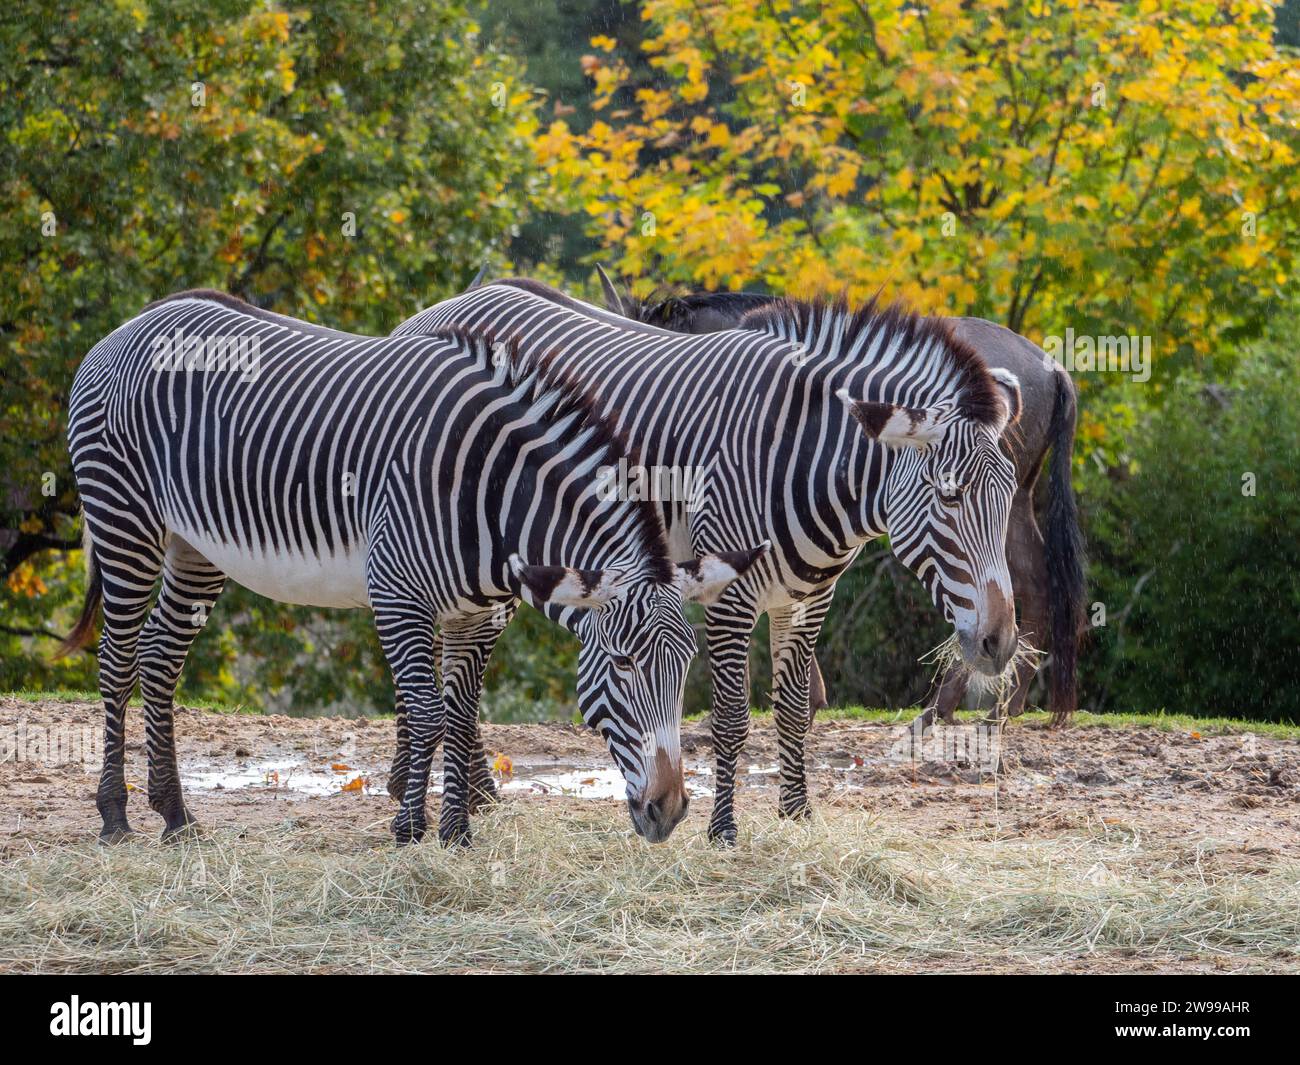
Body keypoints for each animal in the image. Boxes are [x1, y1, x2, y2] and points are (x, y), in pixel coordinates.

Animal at [57, 289, 765, 846]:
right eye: (623, 664)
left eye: (686, 666)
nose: (669, 812)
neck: (491, 493)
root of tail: (129, 325)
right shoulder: (397, 594)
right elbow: (428, 713)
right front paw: (409, 827)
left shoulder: (476, 611)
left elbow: (460, 711)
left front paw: (455, 833)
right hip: (124, 519)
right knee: (117, 659)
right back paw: (115, 817)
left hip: (194, 546)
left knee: (158, 658)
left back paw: (175, 816)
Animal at [390, 279, 1024, 842]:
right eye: (949, 496)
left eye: (1011, 494)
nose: (1000, 644)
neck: (799, 454)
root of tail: (436, 310)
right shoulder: (729, 594)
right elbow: (732, 718)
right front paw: (723, 832)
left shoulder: (808, 598)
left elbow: (793, 708)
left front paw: (798, 816)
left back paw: (461, 794)